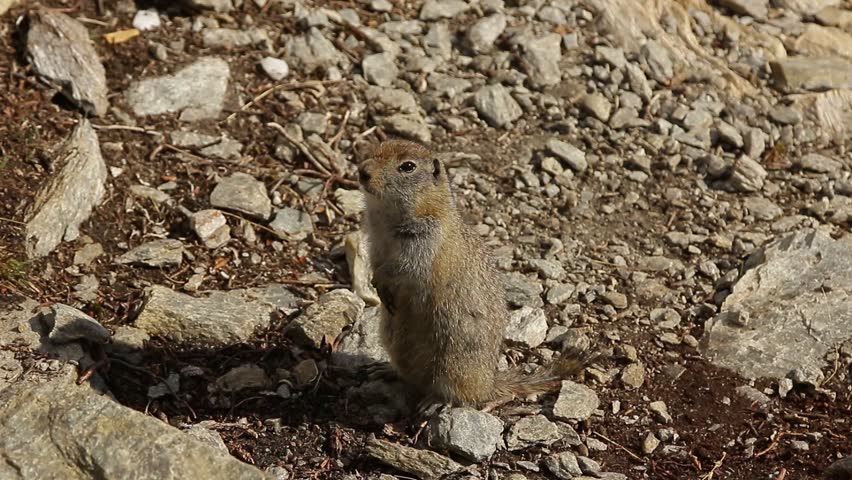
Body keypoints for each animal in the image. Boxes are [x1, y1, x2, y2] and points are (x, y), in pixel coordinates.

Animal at [358, 139, 595, 409]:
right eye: (377, 148)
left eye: (408, 166)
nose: (362, 171)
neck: (387, 216)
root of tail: (489, 383)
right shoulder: (375, 241)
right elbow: (376, 262)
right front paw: (377, 285)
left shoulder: (424, 240)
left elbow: (404, 266)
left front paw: (383, 282)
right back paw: (384, 370)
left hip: (454, 364)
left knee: (461, 395)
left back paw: (436, 401)